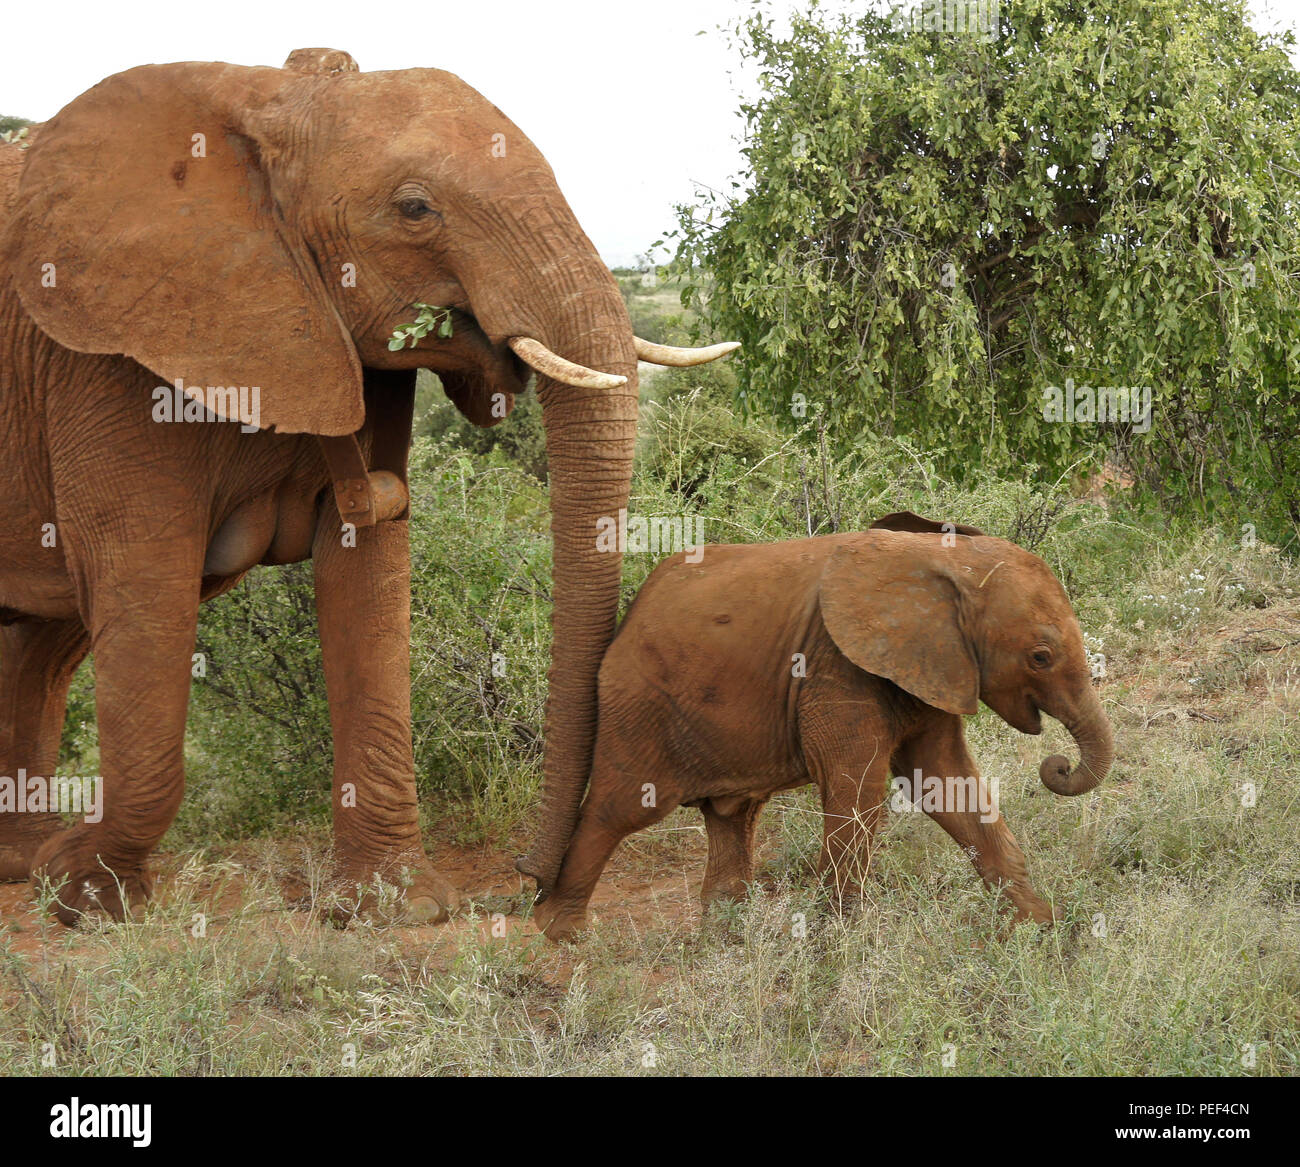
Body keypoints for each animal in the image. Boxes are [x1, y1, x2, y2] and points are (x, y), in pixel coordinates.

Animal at [0, 48, 737, 923]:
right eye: (415, 209)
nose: (530, 877)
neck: (273, 104)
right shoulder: (107, 356)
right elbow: (143, 583)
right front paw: (84, 893)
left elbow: (368, 569)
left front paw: (393, 905)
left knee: (39, 645)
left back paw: (15, 862)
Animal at [533, 512, 1114, 941]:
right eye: (1040, 657)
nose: (1058, 766)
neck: (945, 560)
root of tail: (629, 616)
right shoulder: (835, 664)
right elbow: (860, 791)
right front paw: (837, 947)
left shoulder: (932, 666)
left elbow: (946, 782)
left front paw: (1039, 928)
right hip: (637, 703)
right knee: (620, 808)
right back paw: (559, 937)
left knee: (732, 817)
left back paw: (724, 939)